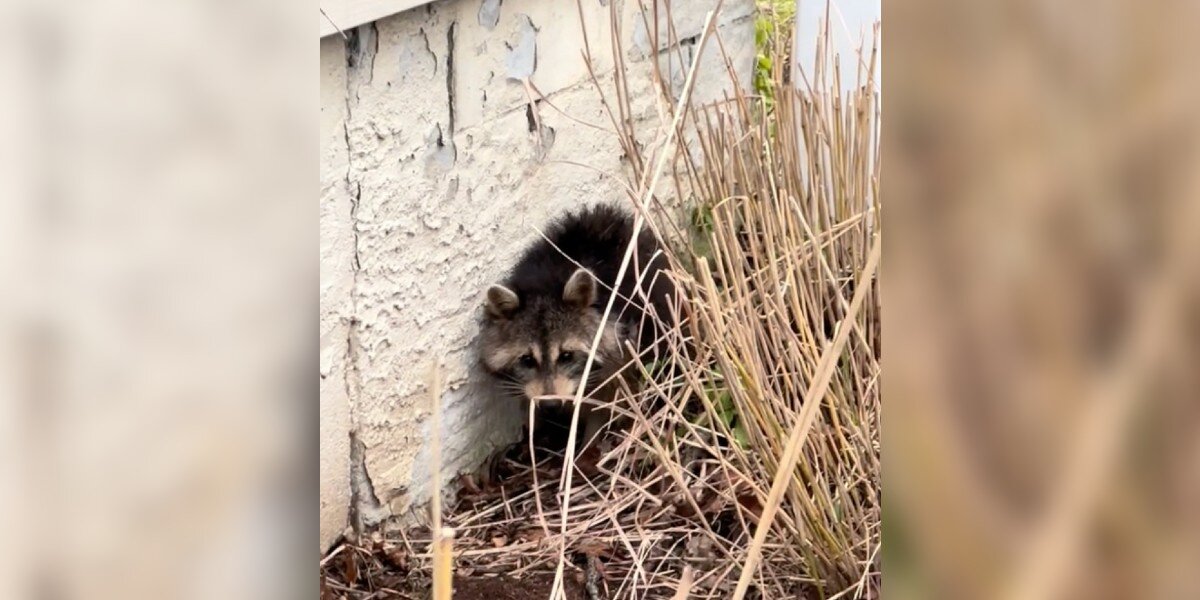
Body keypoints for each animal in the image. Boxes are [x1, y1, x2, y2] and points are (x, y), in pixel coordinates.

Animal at [477, 204, 676, 447]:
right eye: (527, 360)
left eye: (566, 356)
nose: (550, 405)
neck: (545, 283)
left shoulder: (623, 350)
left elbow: (609, 398)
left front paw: (589, 443)